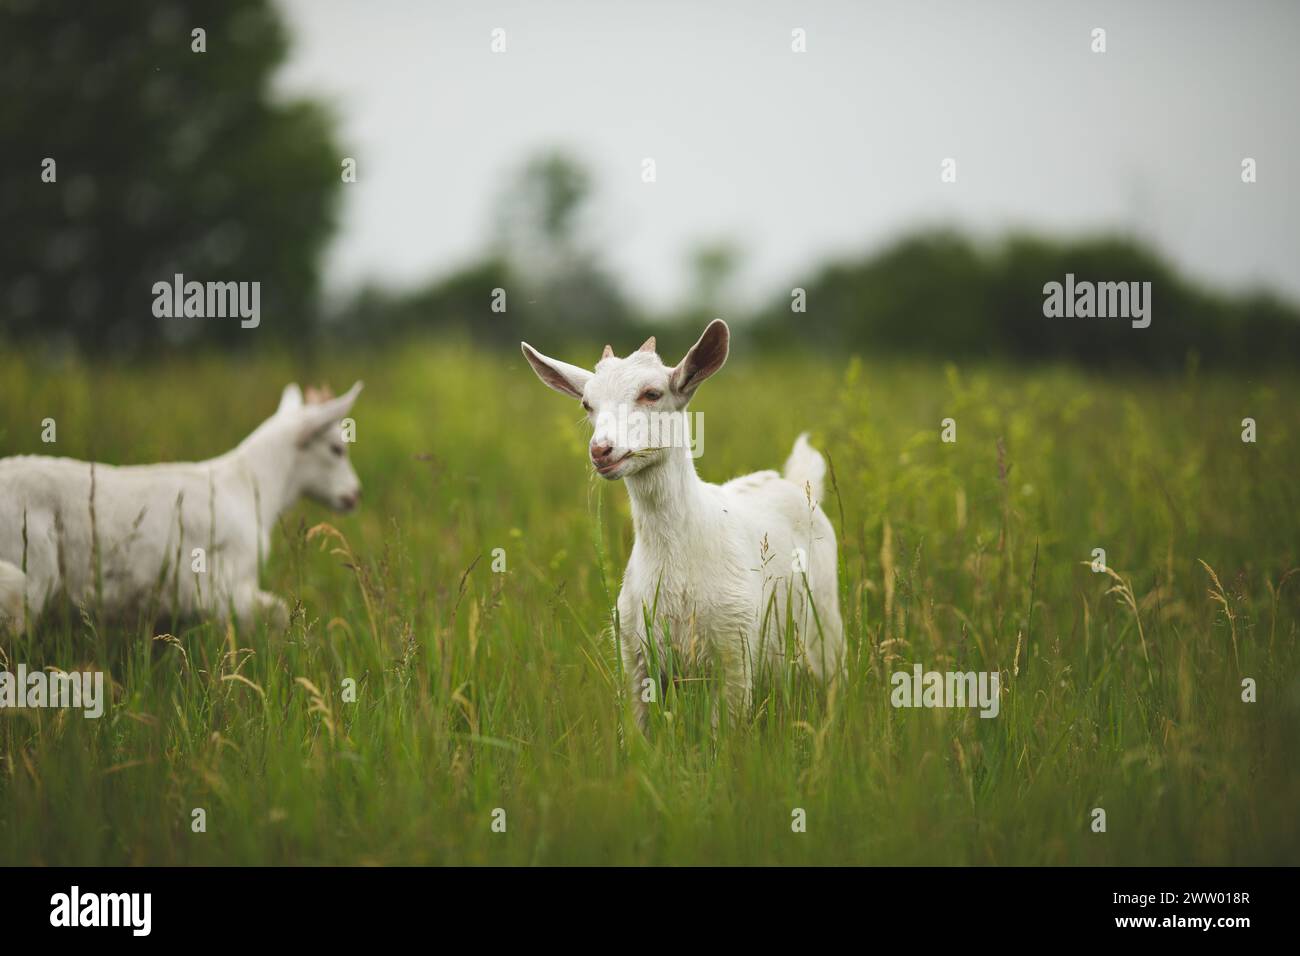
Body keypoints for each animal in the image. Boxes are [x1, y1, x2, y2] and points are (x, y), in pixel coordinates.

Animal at [0, 382, 363, 631]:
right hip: (31, 567)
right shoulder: (221, 588)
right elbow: (275, 612)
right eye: (336, 449)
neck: (250, 485)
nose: (355, 494)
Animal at [521, 320, 844, 727]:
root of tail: (797, 484)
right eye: (586, 404)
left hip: (826, 630)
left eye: (652, 393)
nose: (601, 450)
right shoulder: (634, 657)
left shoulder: (736, 653)